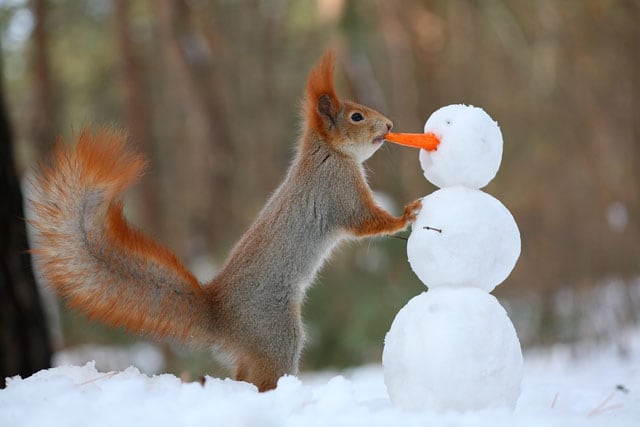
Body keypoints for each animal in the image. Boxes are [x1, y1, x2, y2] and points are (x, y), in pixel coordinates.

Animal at [28, 50, 422, 391]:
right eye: (356, 117)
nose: (389, 125)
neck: (328, 152)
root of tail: (219, 315)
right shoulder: (338, 191)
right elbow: (365, 222)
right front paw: (407, 214)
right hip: (275, 335)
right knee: (261, 378)